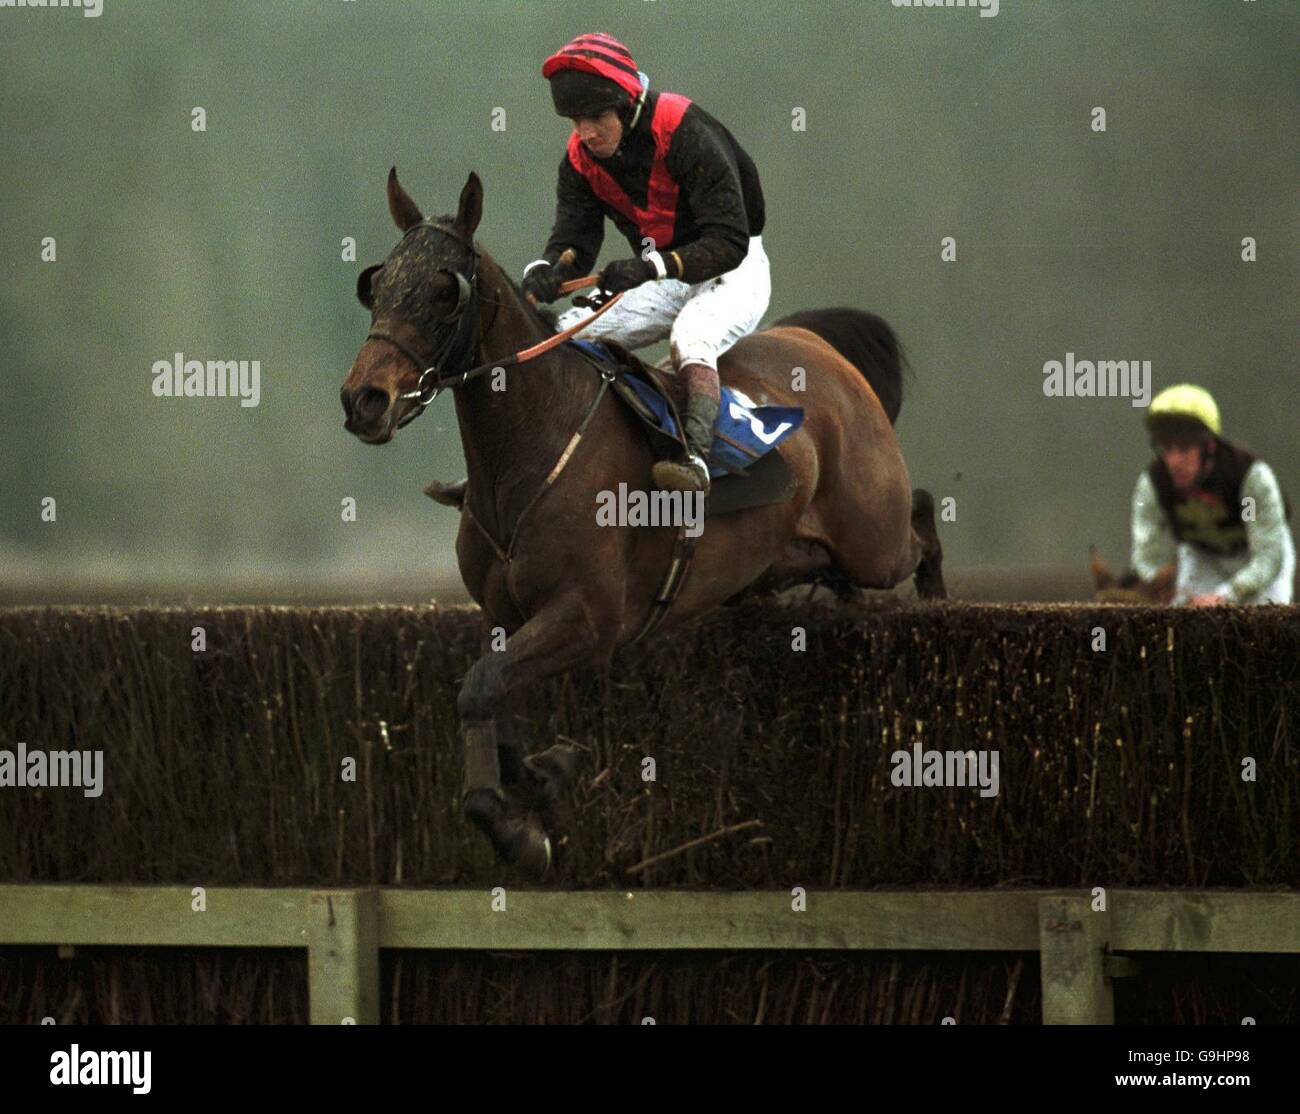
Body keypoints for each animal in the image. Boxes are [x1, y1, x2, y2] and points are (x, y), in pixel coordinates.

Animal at [341, 168, 946, 875]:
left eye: (443, 291)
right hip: (783, 559)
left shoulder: (590, 618)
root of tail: (814, 343)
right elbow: (489, 702)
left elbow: (480, 686)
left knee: (922, 520)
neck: (532, 448)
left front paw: (514, 827)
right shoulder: (504, 615)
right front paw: (548, 772)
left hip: (872, 535)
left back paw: (937, 602)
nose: (364, 400)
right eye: (378, 284)